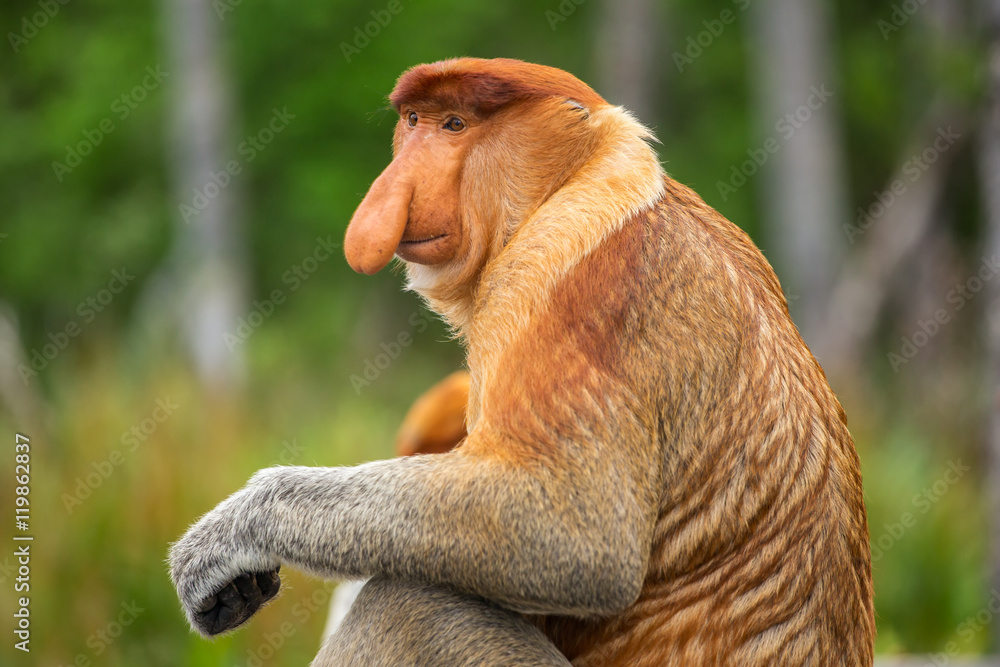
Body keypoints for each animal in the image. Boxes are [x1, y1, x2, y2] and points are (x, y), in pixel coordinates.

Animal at [169, 58, 875, 666]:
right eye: (415, 120)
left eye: (456, 125)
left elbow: (576, 536)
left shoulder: (554, 282)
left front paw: (231, 533)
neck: (580, 178)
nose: (389, 193)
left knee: (415, 605)